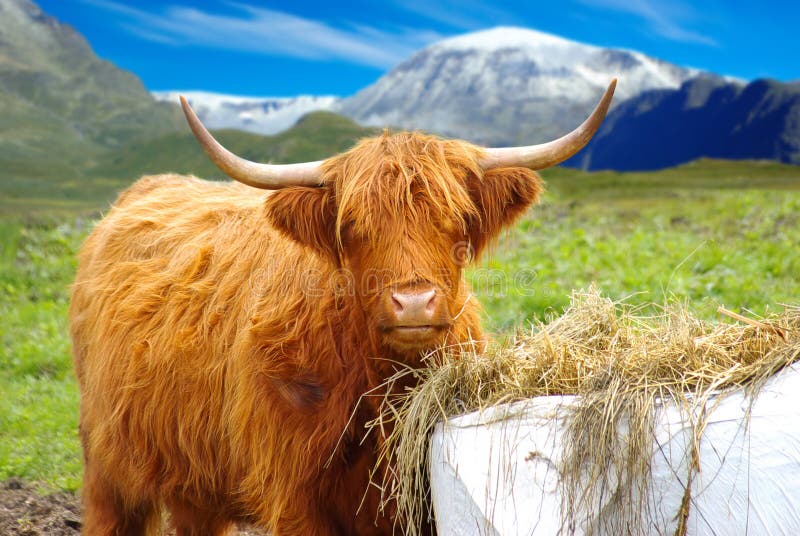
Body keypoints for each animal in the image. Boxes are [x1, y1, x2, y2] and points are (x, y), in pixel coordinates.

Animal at [69, 80, 616, 535]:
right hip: (108, 465)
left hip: (194, 478)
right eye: (352, 226)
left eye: (459, 219)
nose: (413, 304)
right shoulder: (294, 497)